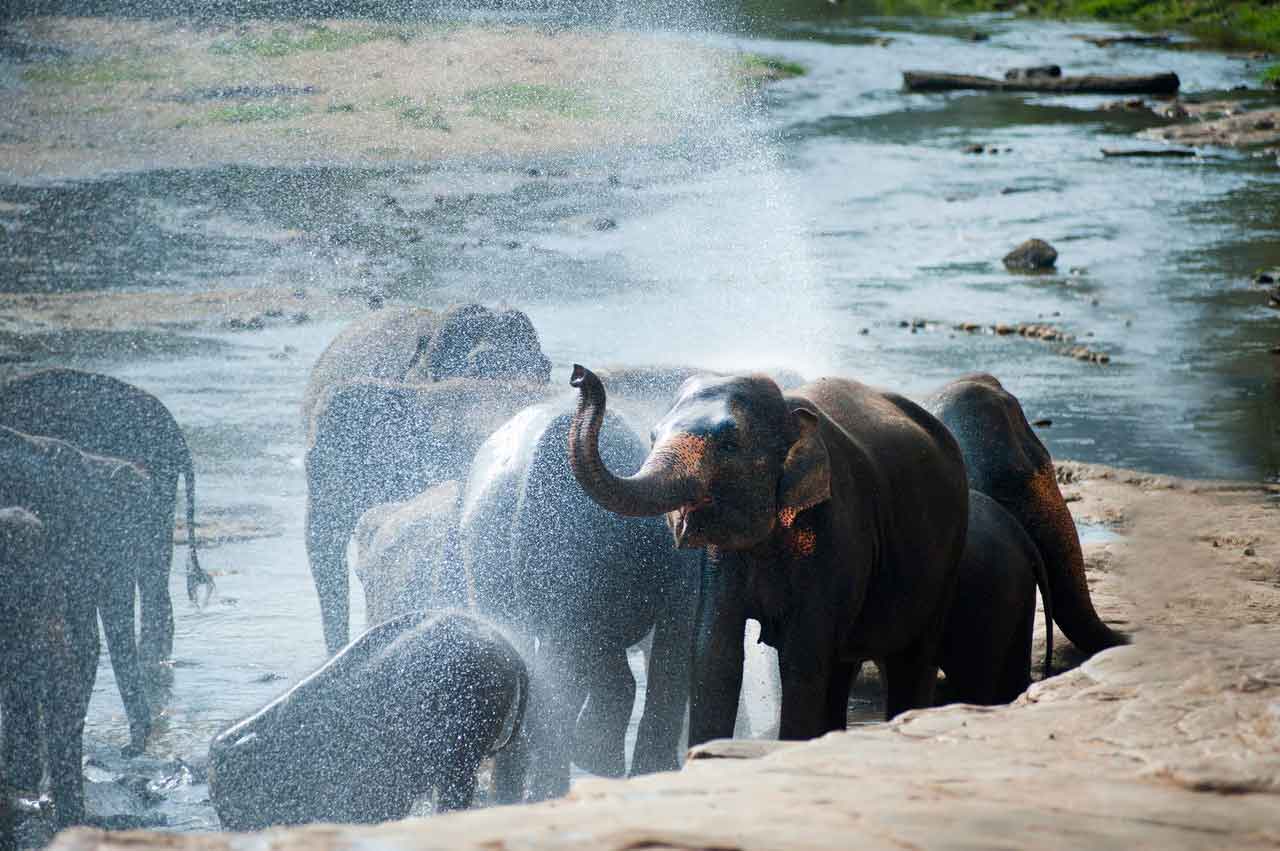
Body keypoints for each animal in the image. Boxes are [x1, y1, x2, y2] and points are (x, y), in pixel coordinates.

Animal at [566, 365, 969, 744]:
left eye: (729, 445)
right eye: (652, 436)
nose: (578, 374)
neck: (789, 408)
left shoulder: (836, 531)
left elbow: (801, 656)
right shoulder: (721, 559)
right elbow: (715, 652)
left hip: (950, 551)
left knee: (912, 658)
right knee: (842, 668)